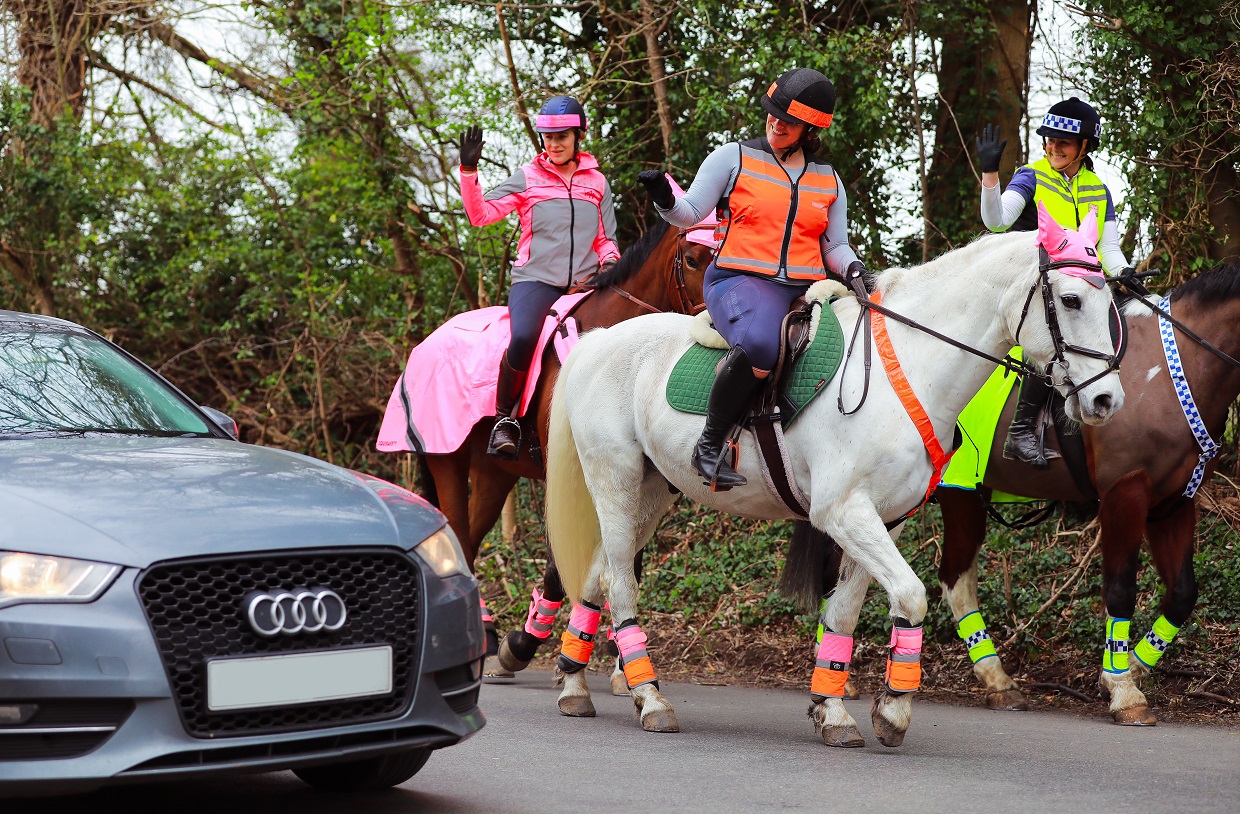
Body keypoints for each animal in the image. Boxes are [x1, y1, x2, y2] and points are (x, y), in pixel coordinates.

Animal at [412, 219, 712, 655]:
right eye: (692, 259)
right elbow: (560, 563)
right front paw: (527, 640)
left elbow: (626, 556)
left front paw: (615, 642)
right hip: (446, 461)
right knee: (460, 540)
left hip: (493, 476)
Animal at [545, 208, 1125, 746]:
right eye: (1072, 300)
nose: (1106, 400)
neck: (909, 364)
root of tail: (598, 340)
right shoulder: (843, 512)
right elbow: (911, 596)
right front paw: (893, 708)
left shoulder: (883, 519)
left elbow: (844, 614)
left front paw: (835, 710)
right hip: (615, 482)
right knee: (621, 582)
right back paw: (649, 697)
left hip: (650, 494)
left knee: (598, 573)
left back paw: (574, 684)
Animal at [921, 261, 1240, 725]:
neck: (1172, 369)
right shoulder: (1126, 492)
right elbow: (1121, 590)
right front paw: (1123, 689)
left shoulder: (1173, 502)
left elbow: (1182, 594)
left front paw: (1129, 668)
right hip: (956, 492)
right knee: (952, 580)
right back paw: (993, 677)